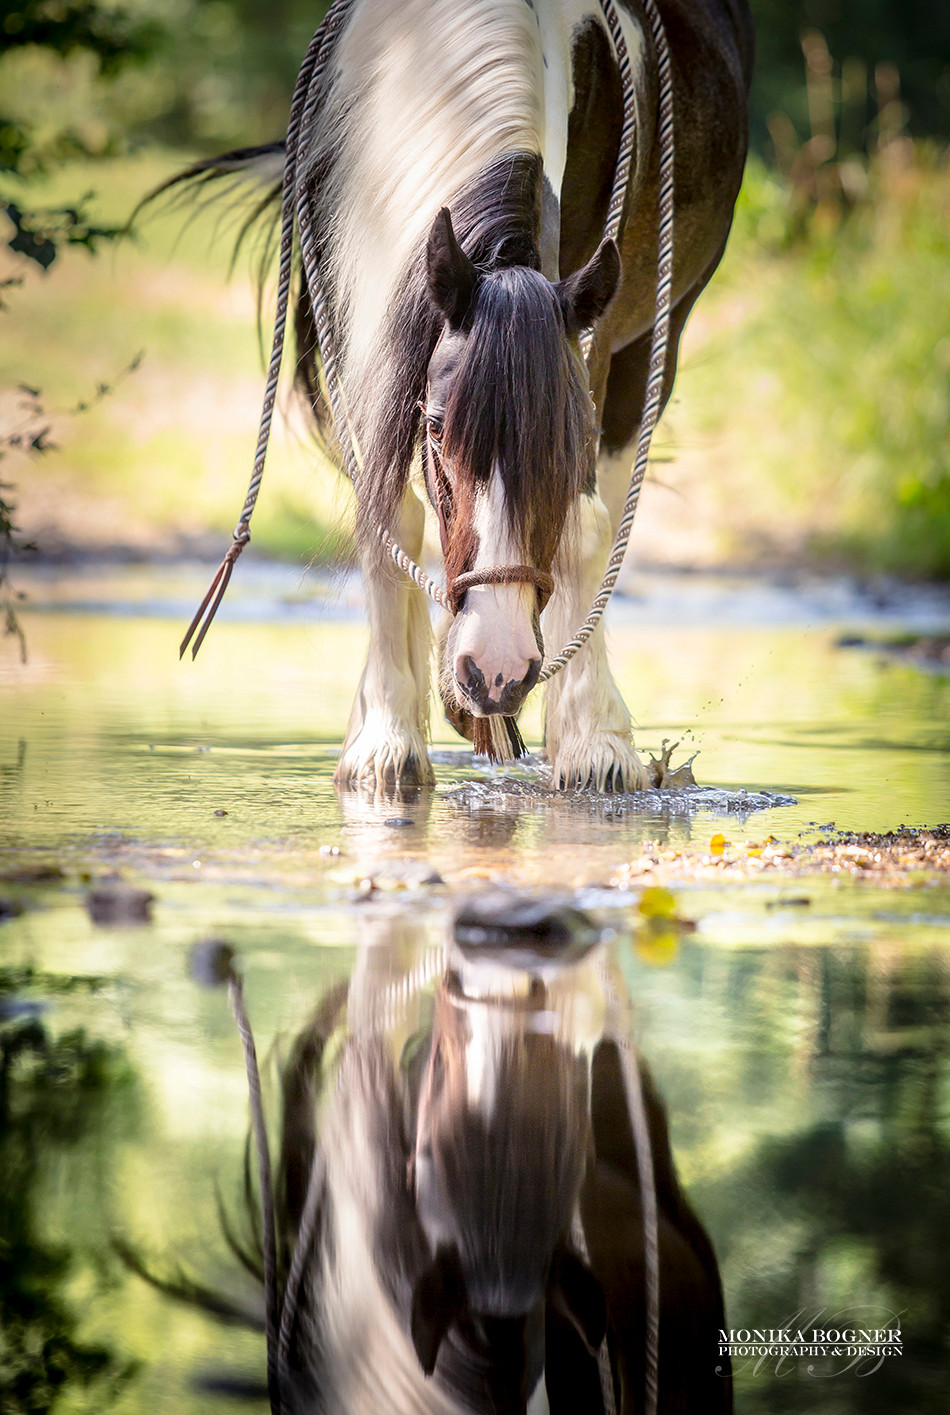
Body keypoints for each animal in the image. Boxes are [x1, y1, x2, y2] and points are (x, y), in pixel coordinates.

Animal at [173, 0, 753, 793]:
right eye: (437, 429)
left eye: (566, 441)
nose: (499, 668)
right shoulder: (362, 319)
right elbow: (387, 518)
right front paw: (385, 741)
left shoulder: (592, 320)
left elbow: (585, 524)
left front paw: (595, 743)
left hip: (662, 328)